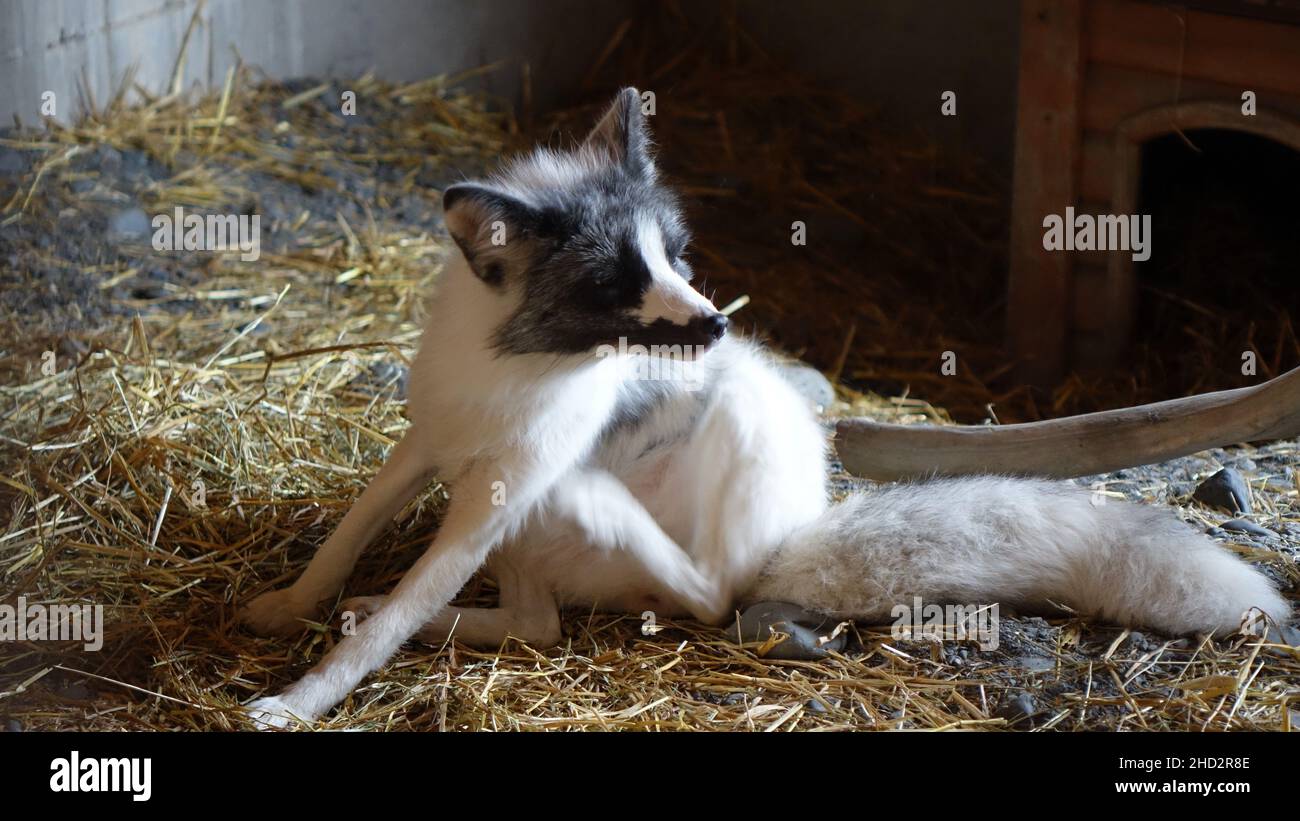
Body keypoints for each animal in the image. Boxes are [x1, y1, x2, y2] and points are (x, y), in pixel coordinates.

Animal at [240, 88, 1291, 728]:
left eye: (676, 255)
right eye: (617, 282)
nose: (712, 322)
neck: (515, 369)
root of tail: (795, 532)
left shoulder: (493, 495)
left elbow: (390, 624)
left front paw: (297, 702)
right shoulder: (429, 445)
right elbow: (348, 538)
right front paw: (291, 605)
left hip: (668, 465)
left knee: (698, 598)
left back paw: (611, 526)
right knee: (536, 625)